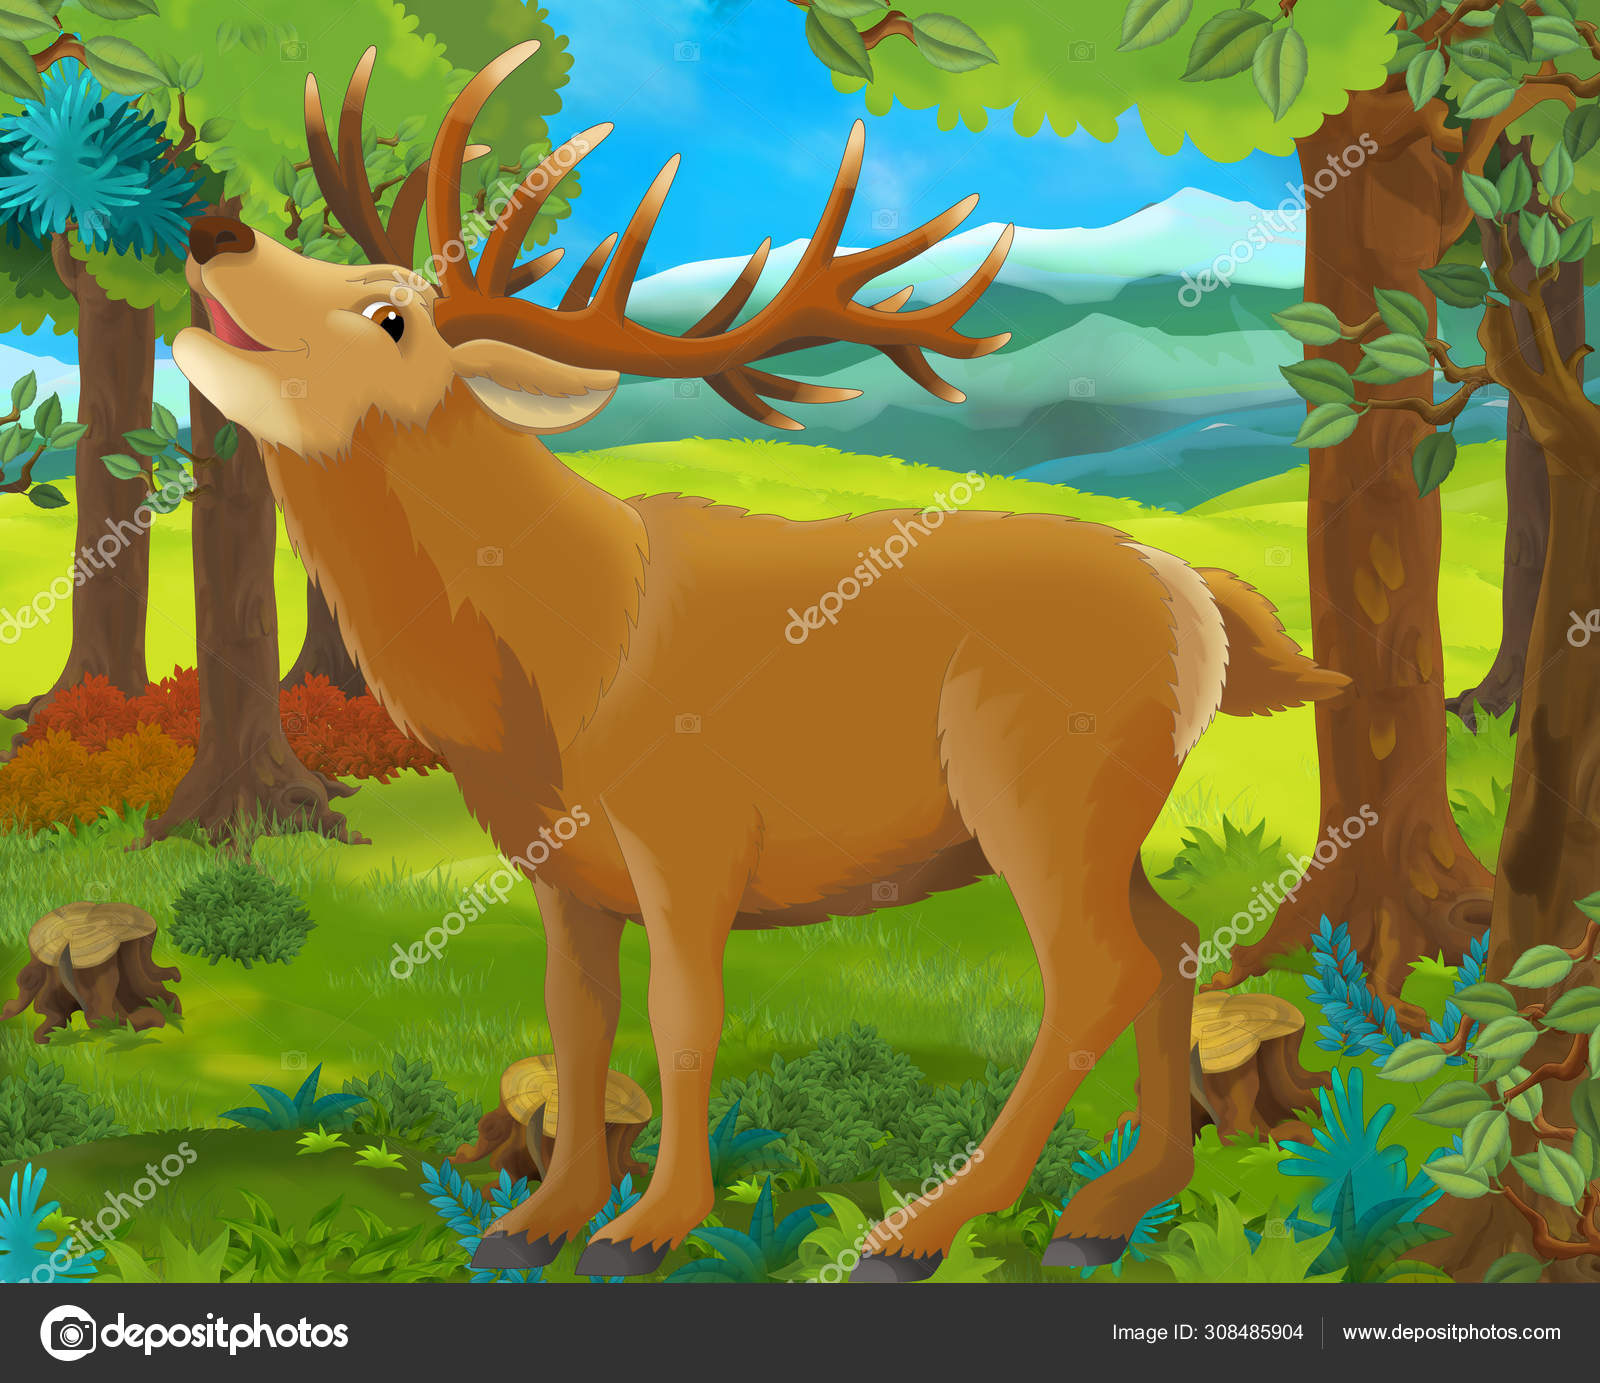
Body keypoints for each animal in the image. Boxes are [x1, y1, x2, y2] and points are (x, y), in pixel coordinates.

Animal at [170, 42, 1349, 1280]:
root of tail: (1194, 596)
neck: (554, 681)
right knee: (1172, 945)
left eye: (389, 314)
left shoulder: (692, 832)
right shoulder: (559, 868)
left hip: (1040, 779)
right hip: (1102, 806)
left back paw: (923, 1229)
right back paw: (1115, 1203)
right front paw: (537, 1221)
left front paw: (647, 1227)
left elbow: (685, 1023)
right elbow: (576, 1022)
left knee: (1096, 974)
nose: (216, 226)